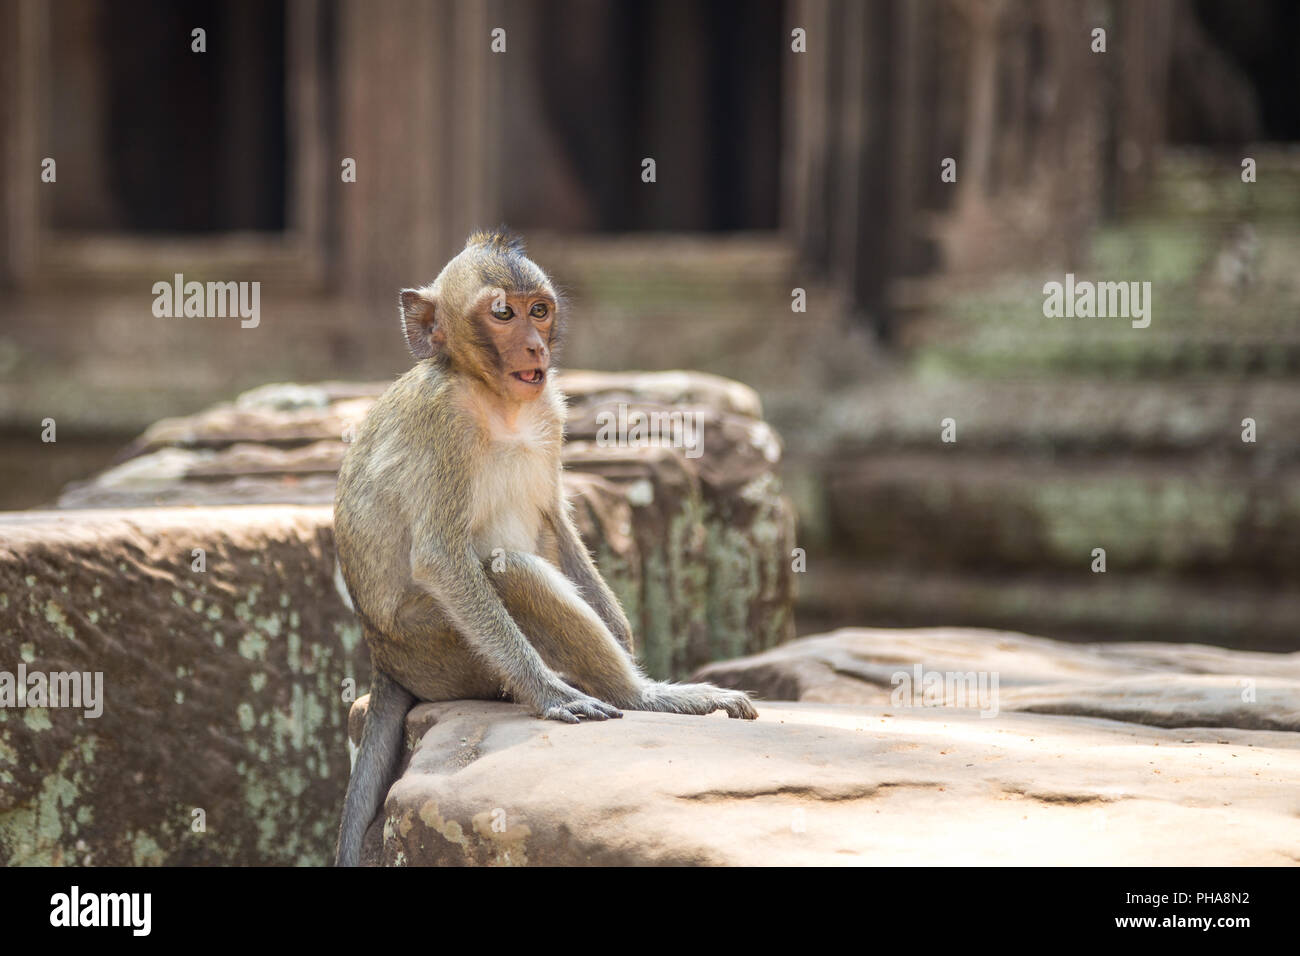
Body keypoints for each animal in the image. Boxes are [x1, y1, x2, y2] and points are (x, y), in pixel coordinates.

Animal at [332, 229, 757, 867]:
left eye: (538, 310)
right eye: (502, 314)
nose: (534, 346)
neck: (495, 399)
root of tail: (383, 659)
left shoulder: (551, 410)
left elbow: (555, 519)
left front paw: (622, 639)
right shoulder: (441, 423)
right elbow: (442, 558)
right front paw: (551, 692)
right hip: (439, 652)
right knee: (510, 571)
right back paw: (642, 694)